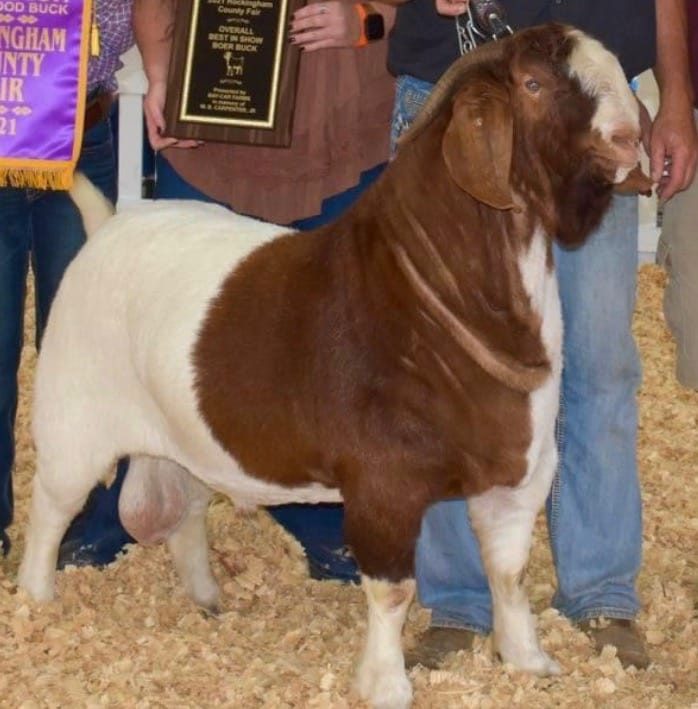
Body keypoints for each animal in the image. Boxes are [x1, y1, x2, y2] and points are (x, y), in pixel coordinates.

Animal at [19, 23, 651, 709]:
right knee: (51, 511)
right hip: (73, 425)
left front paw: (529, 662)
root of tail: (104, 227)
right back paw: (36, 601)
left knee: (184, 512)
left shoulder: (519, 474)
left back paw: (208, 599)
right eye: (533, 84)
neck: (433, 287)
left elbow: (508, 573)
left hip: (186, 440)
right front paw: (386, 685)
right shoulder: (385, 486)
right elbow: (394, 592)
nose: (630, 137)